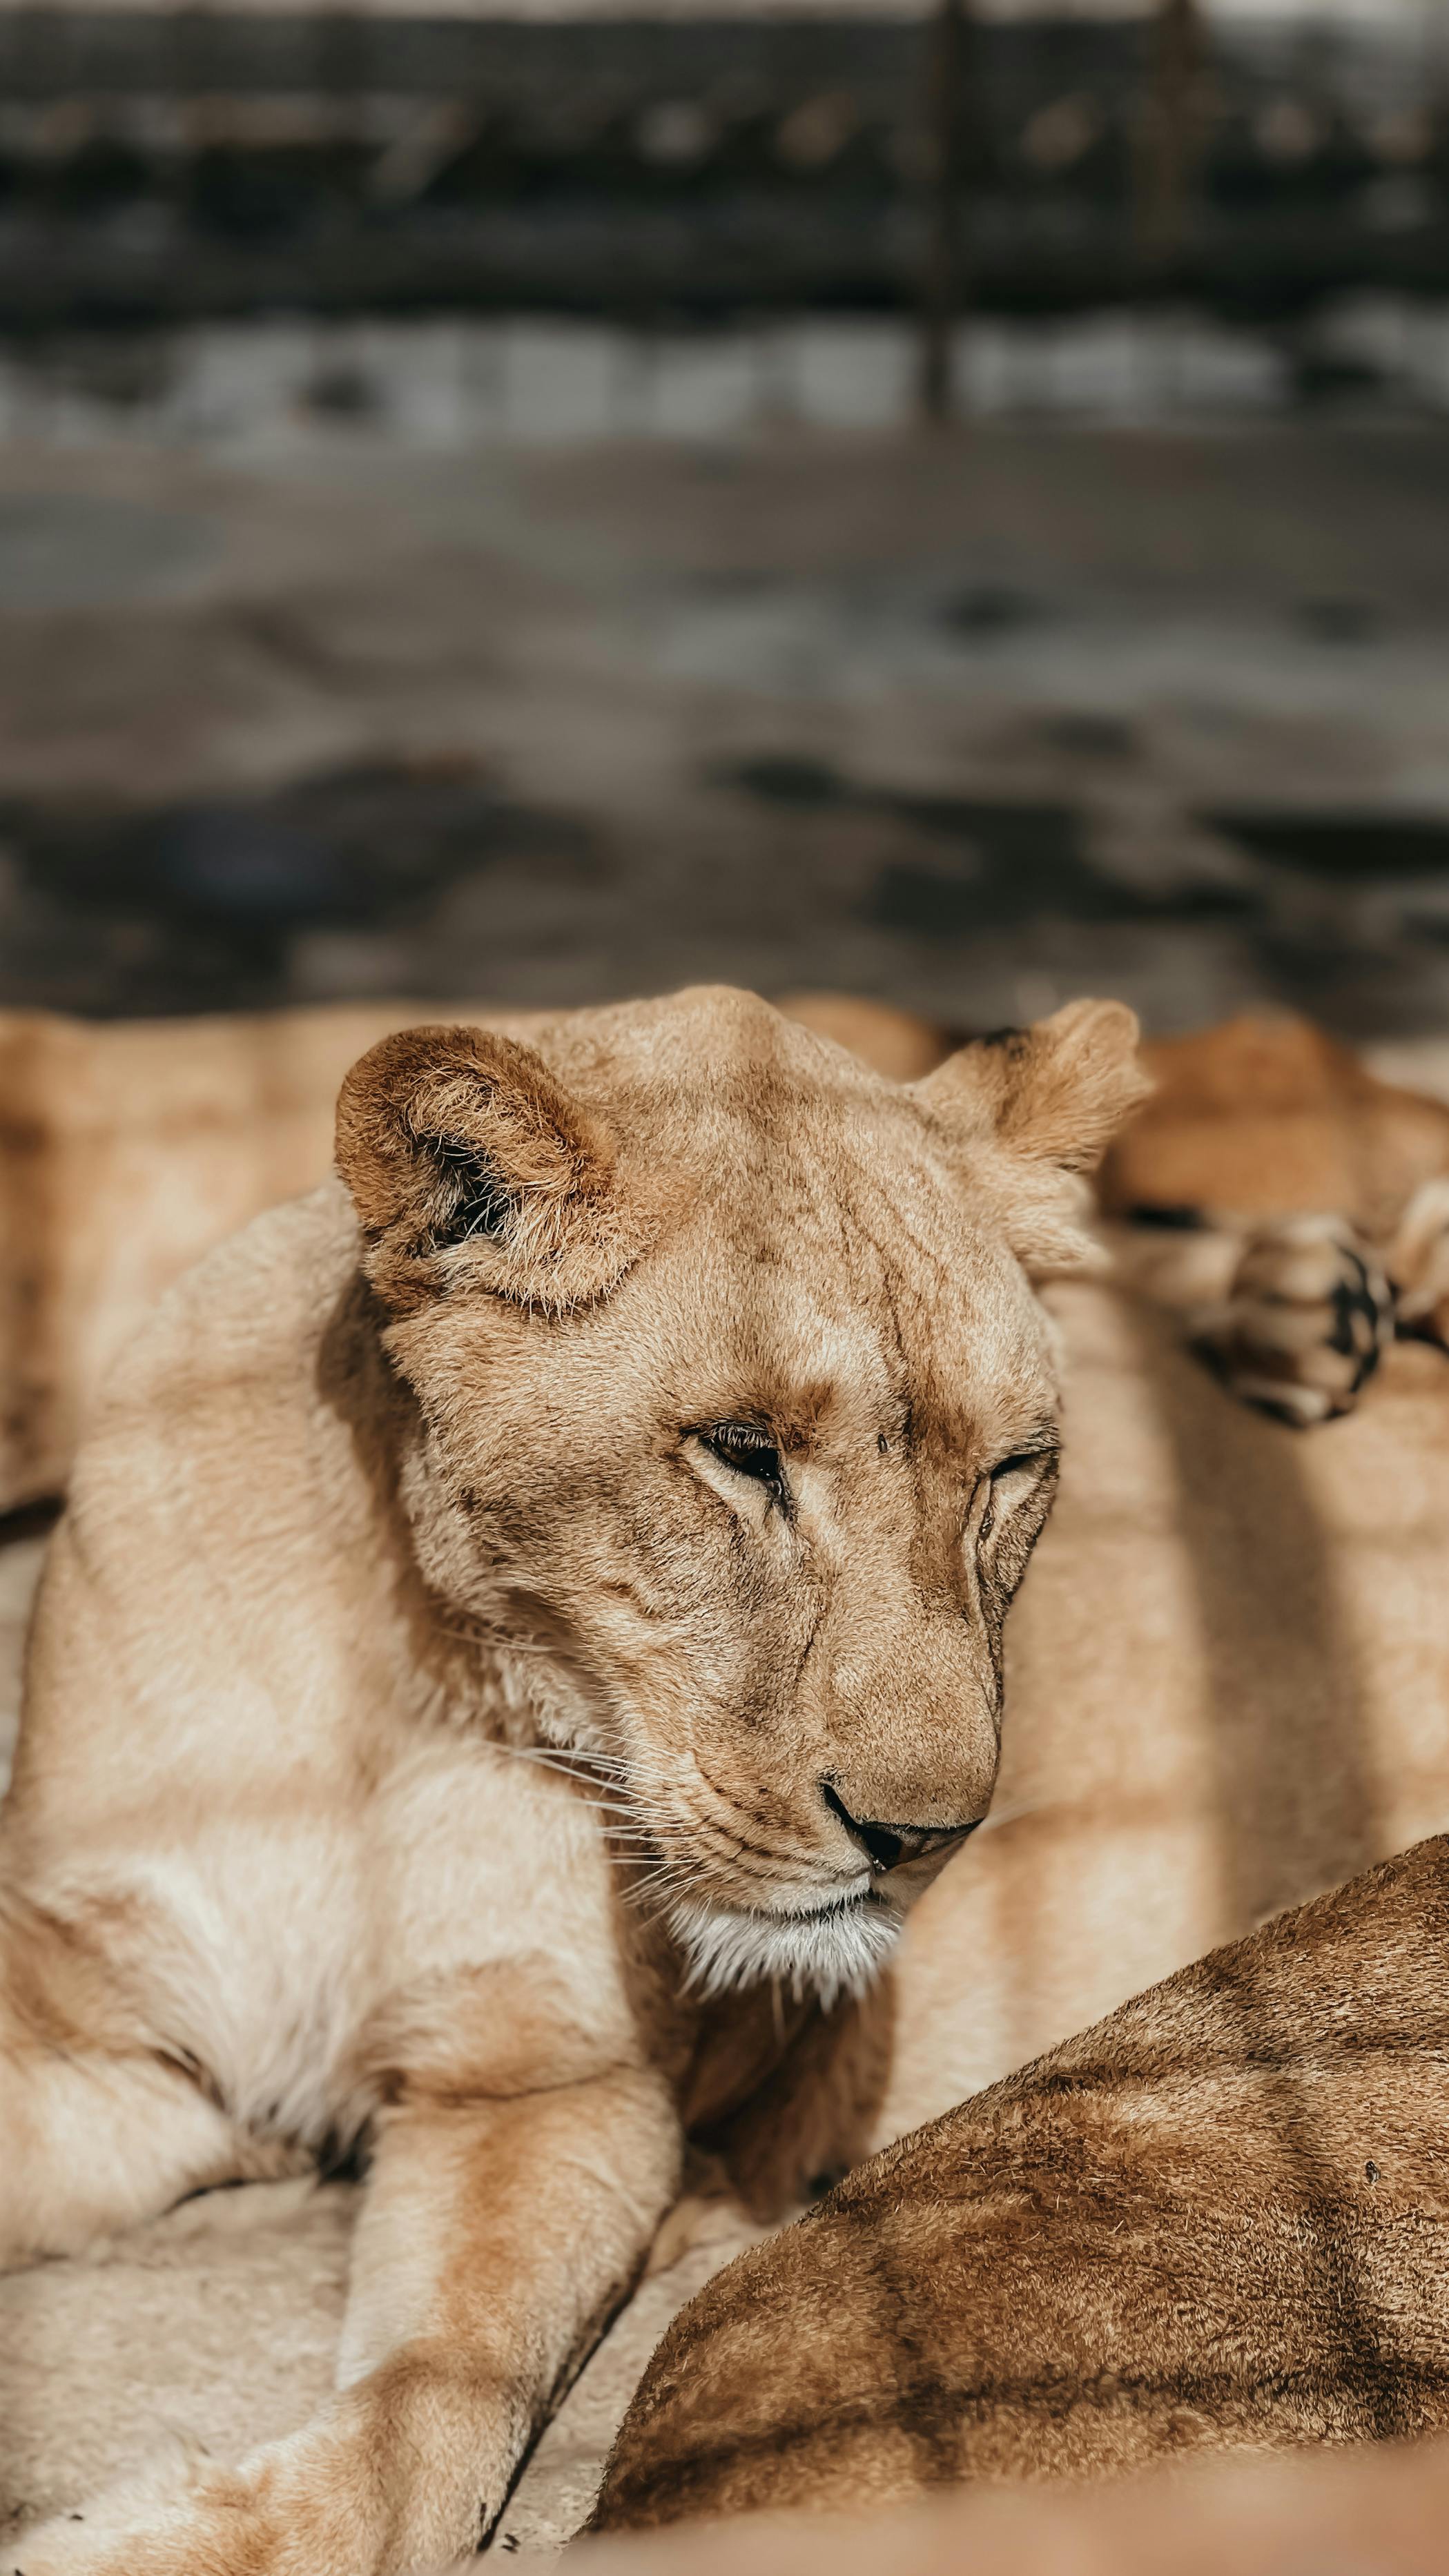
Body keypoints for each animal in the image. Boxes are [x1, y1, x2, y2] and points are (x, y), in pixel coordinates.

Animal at [0, 984, 1147, 2576]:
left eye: (1009, 1471)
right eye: (741, 1454)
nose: (925, 1836)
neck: (410, 1678)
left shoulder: (552, 2083)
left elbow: (424, 2434)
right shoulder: (104, 2028)